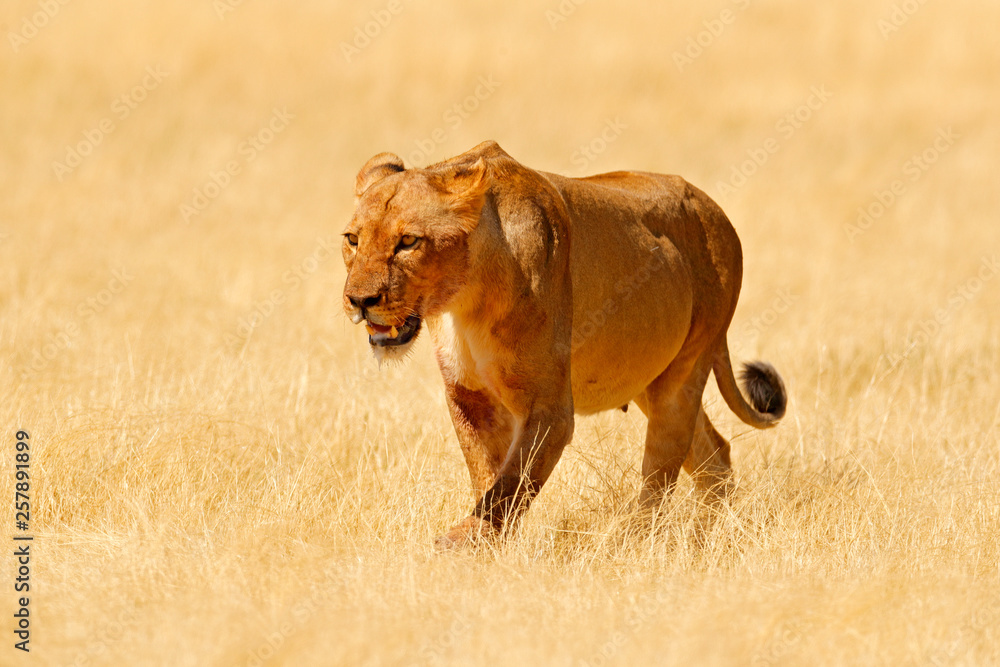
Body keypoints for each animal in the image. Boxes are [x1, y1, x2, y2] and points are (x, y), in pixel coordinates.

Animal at [342, 140, 786, 550]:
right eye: (352, 240)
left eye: (409, 241)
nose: (360, 301)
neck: (466, 299)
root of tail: (717, 213)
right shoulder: (469, 396)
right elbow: (487, 474)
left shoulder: (549, 409)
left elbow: (509, 483)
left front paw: (463, 545)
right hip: (648, 378)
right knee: (715, 455)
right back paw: (709, 535)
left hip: (684, 370)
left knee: (662, 470)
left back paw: (634, 540)